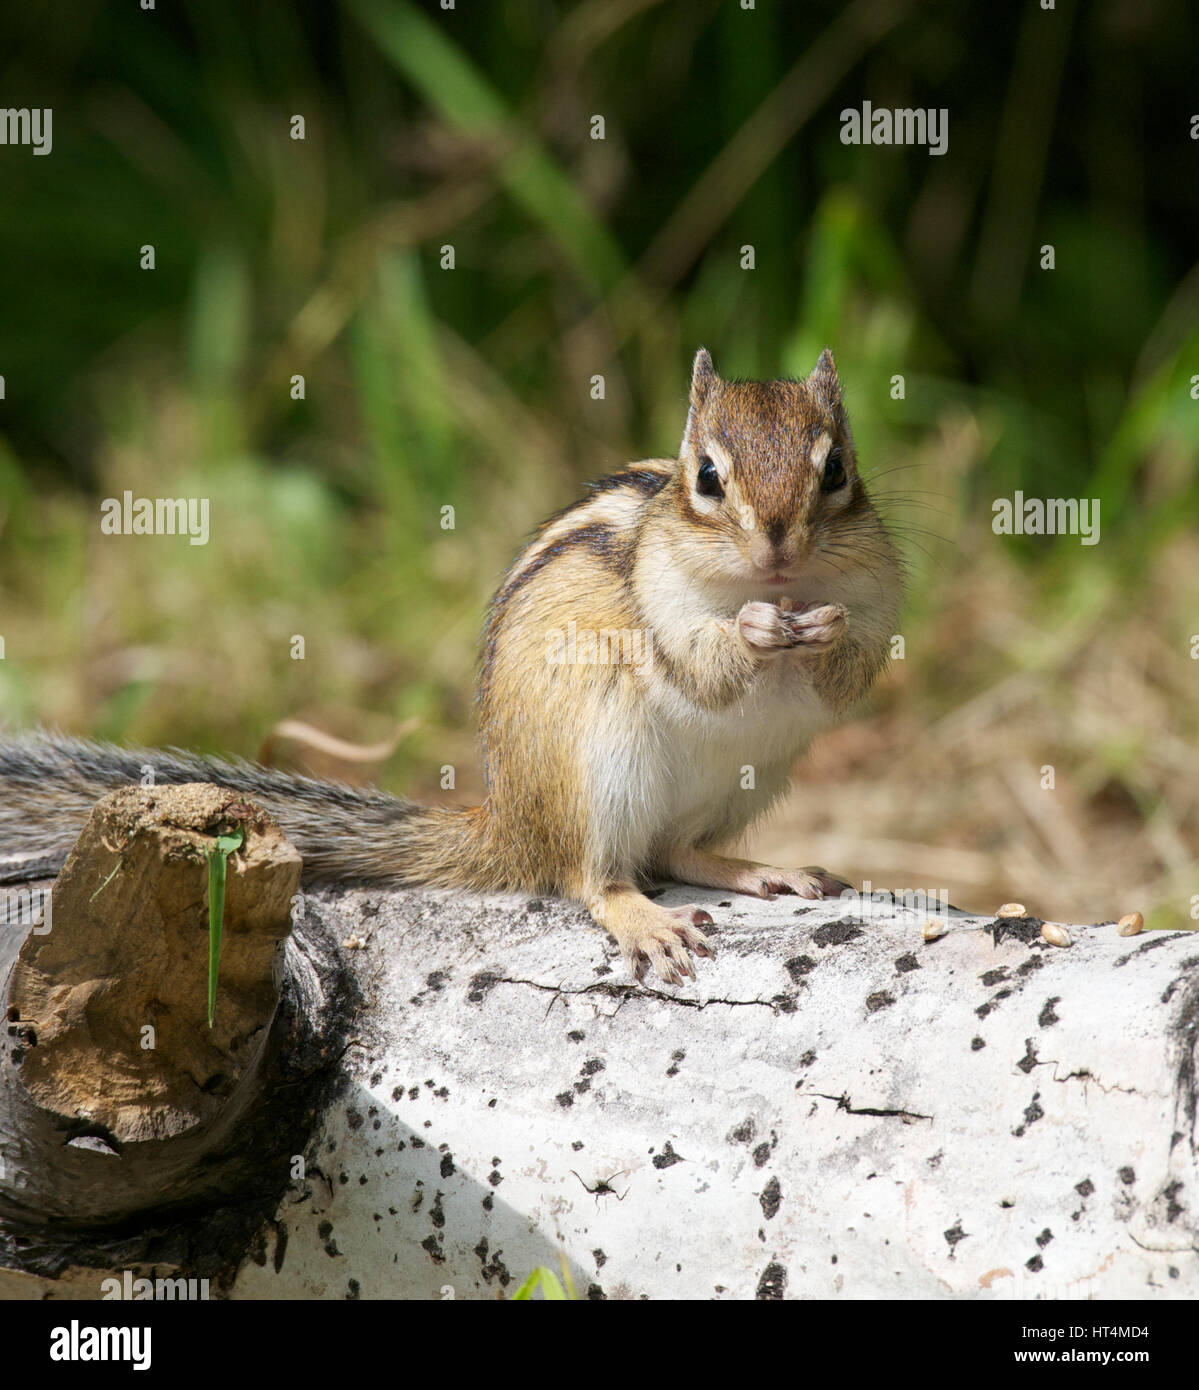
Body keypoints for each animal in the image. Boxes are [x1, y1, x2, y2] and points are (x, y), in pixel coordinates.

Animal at [0, 348, 901, 986]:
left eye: (835, 470)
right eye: (708, 478)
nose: (778, 552)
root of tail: (509, 825)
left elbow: (852, 669)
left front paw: (826, 630)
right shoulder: (660, 608)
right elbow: (698, 667)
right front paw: (750, 628)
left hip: (745, 780)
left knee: (677, 851)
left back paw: (759, 869)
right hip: (597, 768)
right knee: (594, 876)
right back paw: (641, 915)